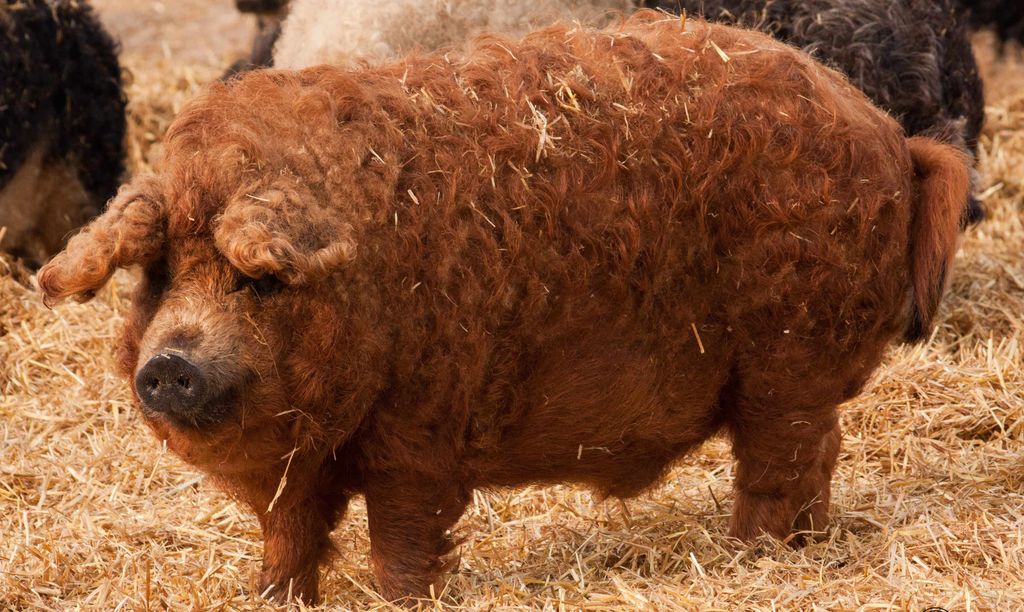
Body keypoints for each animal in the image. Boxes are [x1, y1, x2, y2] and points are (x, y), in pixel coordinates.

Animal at [38, 13, 968, 604]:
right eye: (158, 273)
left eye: (255, 281)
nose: (169, 364)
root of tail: (890, 134)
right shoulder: (297, 475)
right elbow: (290, 536)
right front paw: (268, 597)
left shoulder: (421, 428)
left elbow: (401, 537)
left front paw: (400, 600)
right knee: (815, 460)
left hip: (790, 358)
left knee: (784, 462)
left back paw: (752, 558)